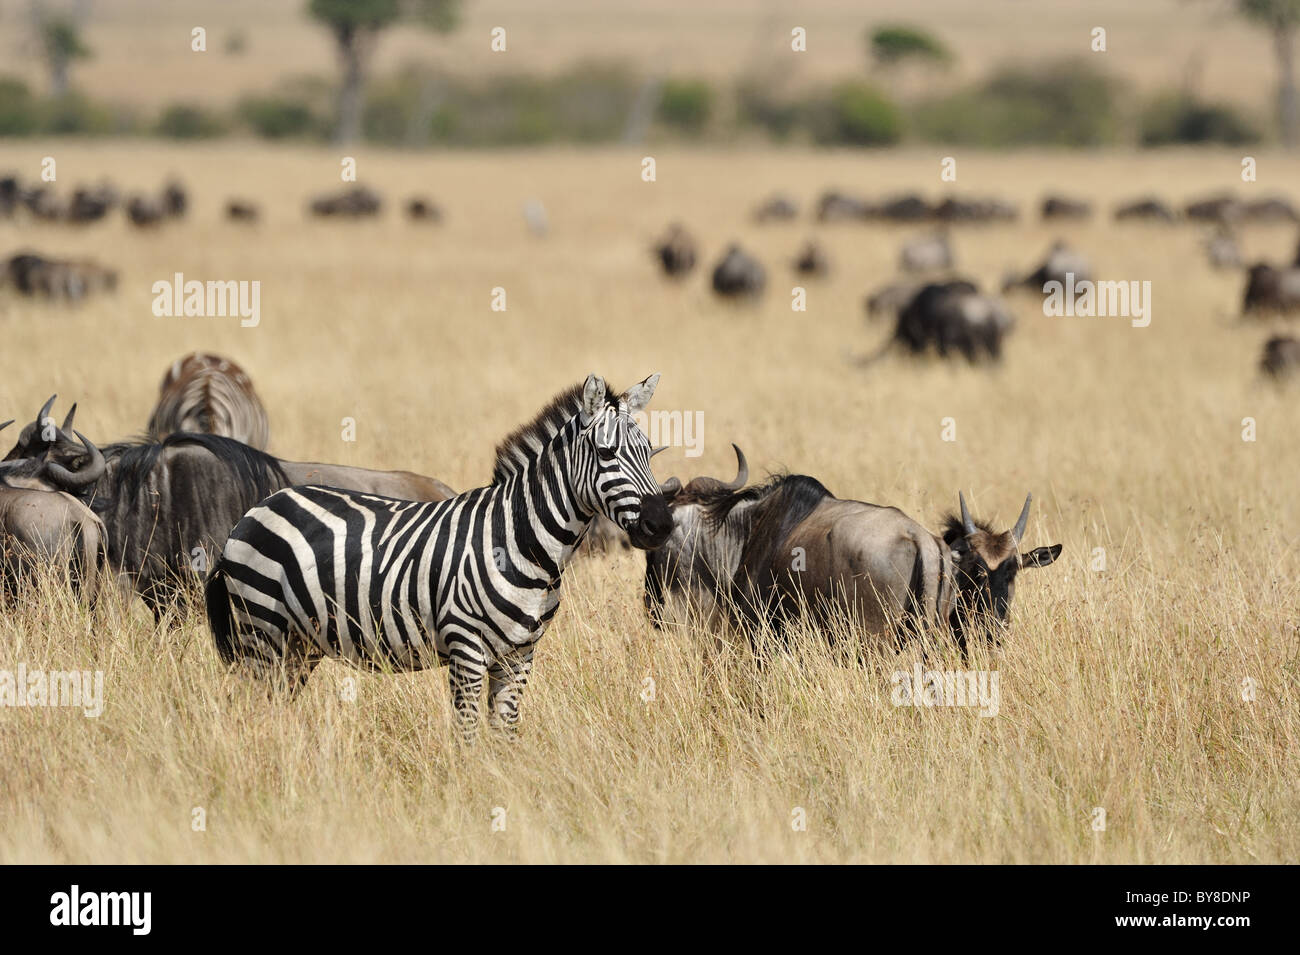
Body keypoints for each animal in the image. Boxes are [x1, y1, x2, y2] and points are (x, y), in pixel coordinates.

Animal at [204, 374, 677, 737]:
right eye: (606, 453)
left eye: (650, 451)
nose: (662, 524)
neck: (524, 543)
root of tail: (257, 509)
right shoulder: (465, 647)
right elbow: (466, 733)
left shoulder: (520, 654)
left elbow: (505, 731)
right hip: (262, 630)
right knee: (247, 706)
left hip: (298, 643)